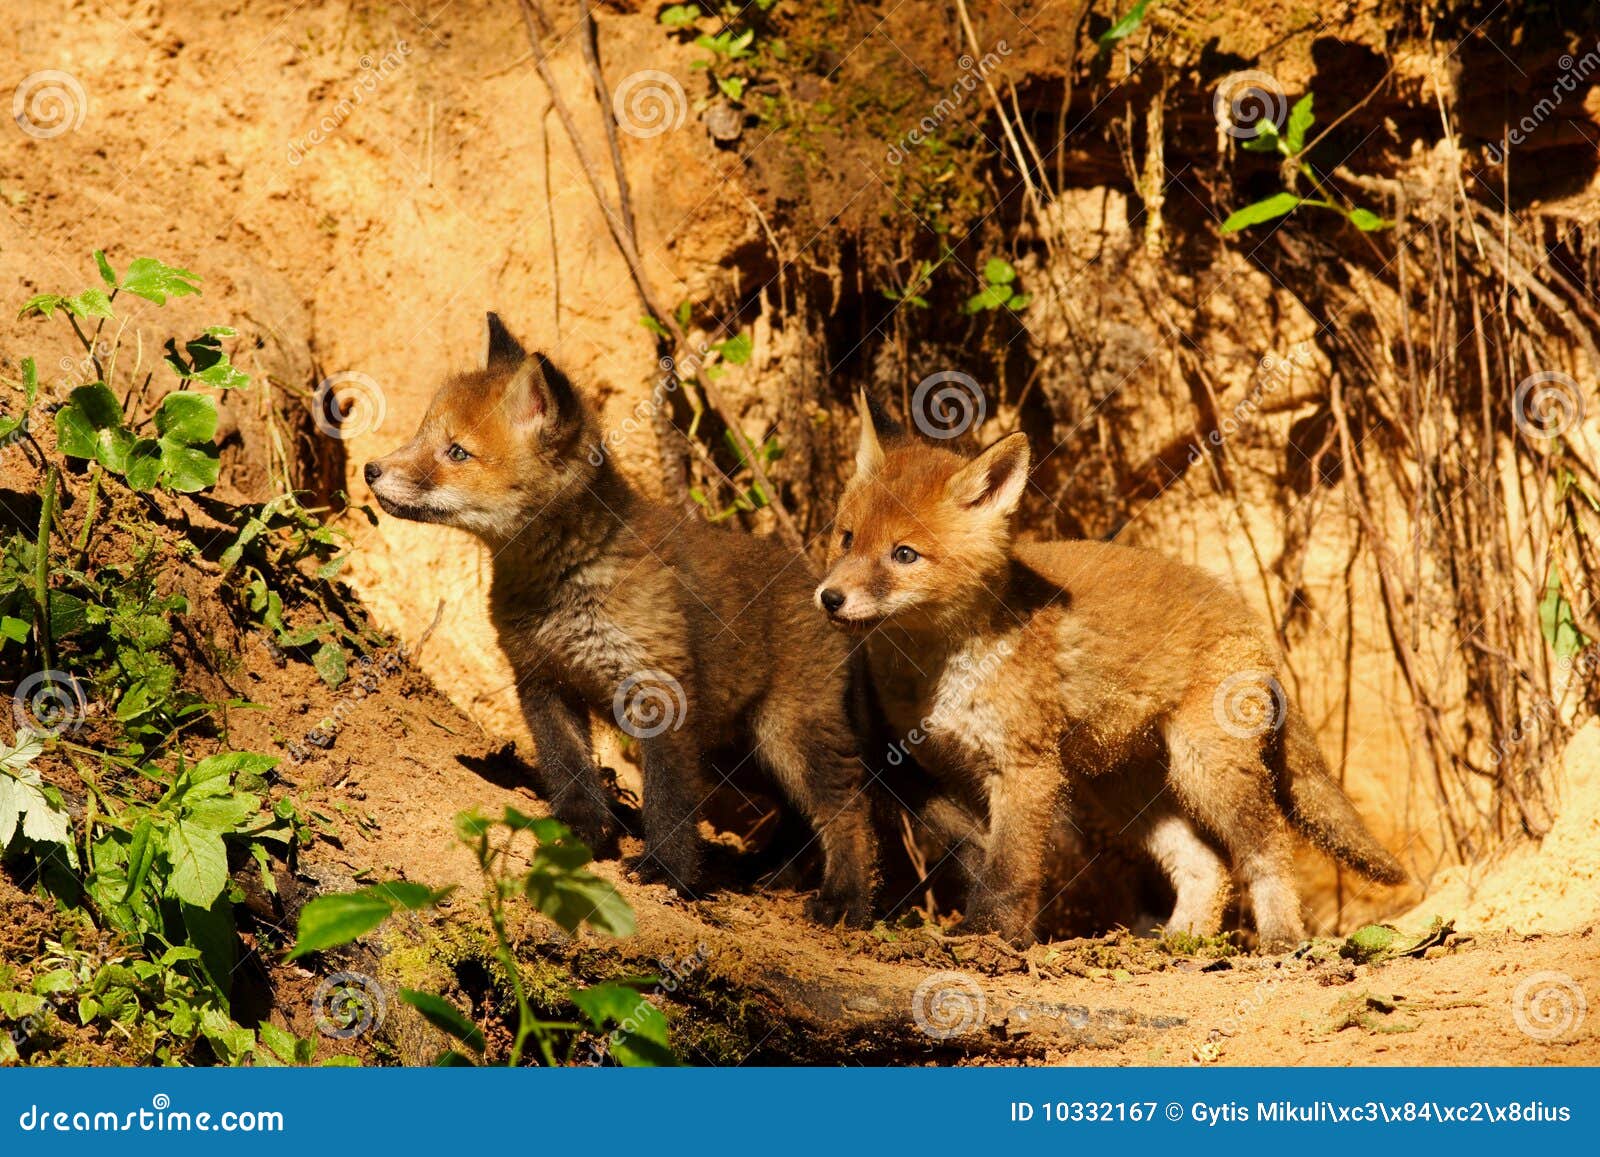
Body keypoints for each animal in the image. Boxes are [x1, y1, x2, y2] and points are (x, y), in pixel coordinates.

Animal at [363, 315, 879, 925]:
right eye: (423, 435)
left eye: (457, 452)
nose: (370, 469)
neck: (562, 589)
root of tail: (821, 583)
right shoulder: (542, 680)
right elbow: (568, 768)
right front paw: (582, 831)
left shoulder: (661, 694)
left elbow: (671, 798)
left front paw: (668, 870)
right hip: (741, 750)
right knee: (797, 817)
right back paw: (773, 874)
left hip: (789, 738)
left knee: (848, 809)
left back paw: (846, 899)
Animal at [815, 393, 1405, 949]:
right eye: (846, 538)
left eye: (904, 555)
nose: (830, 598)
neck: (937, 669)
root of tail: (1245, 615)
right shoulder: (938, 768)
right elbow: (980, 852)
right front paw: (998, 928)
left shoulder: (1026, 768)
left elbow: (1010, 869)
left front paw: (988, 939)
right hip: (1125, 793)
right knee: (1207, 866)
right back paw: (1180, 942)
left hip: (1207, 771)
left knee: (1267, 849)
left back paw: (1281, 938)